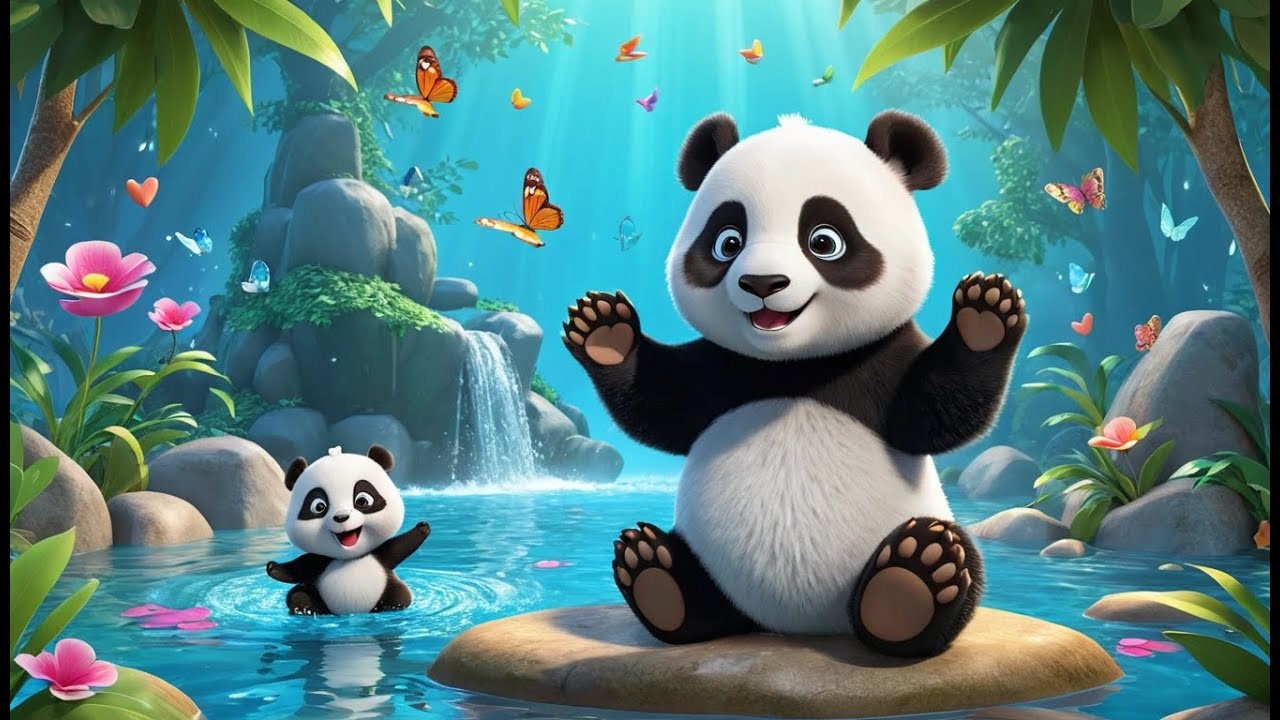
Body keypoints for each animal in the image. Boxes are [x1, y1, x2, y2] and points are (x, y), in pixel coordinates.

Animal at [266, 445, 430, 615]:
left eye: (362, 501)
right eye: (319, 507)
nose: (341, 517)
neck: (350, 557)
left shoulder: (382, 553)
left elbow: (399, 547)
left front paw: (422, 527)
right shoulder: (319, 561)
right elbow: (299, 568)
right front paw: (272, 567)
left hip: (388, 587)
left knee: (401, 595)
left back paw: (391, 606)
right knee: (298, 594)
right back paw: (304, 607)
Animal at [562, 111, 1027, 658]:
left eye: (824, 240)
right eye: (728, 242)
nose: (762, 284)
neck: (796, 366)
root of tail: (798, 627)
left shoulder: (885, 360)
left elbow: (936, 416)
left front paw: (984, 314)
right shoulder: (722, 368)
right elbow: (661, 406)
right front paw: (604, 330)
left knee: (953, 565)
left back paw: (910, 583)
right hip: (713, 562)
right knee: (697, 597)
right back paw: (656, 574)